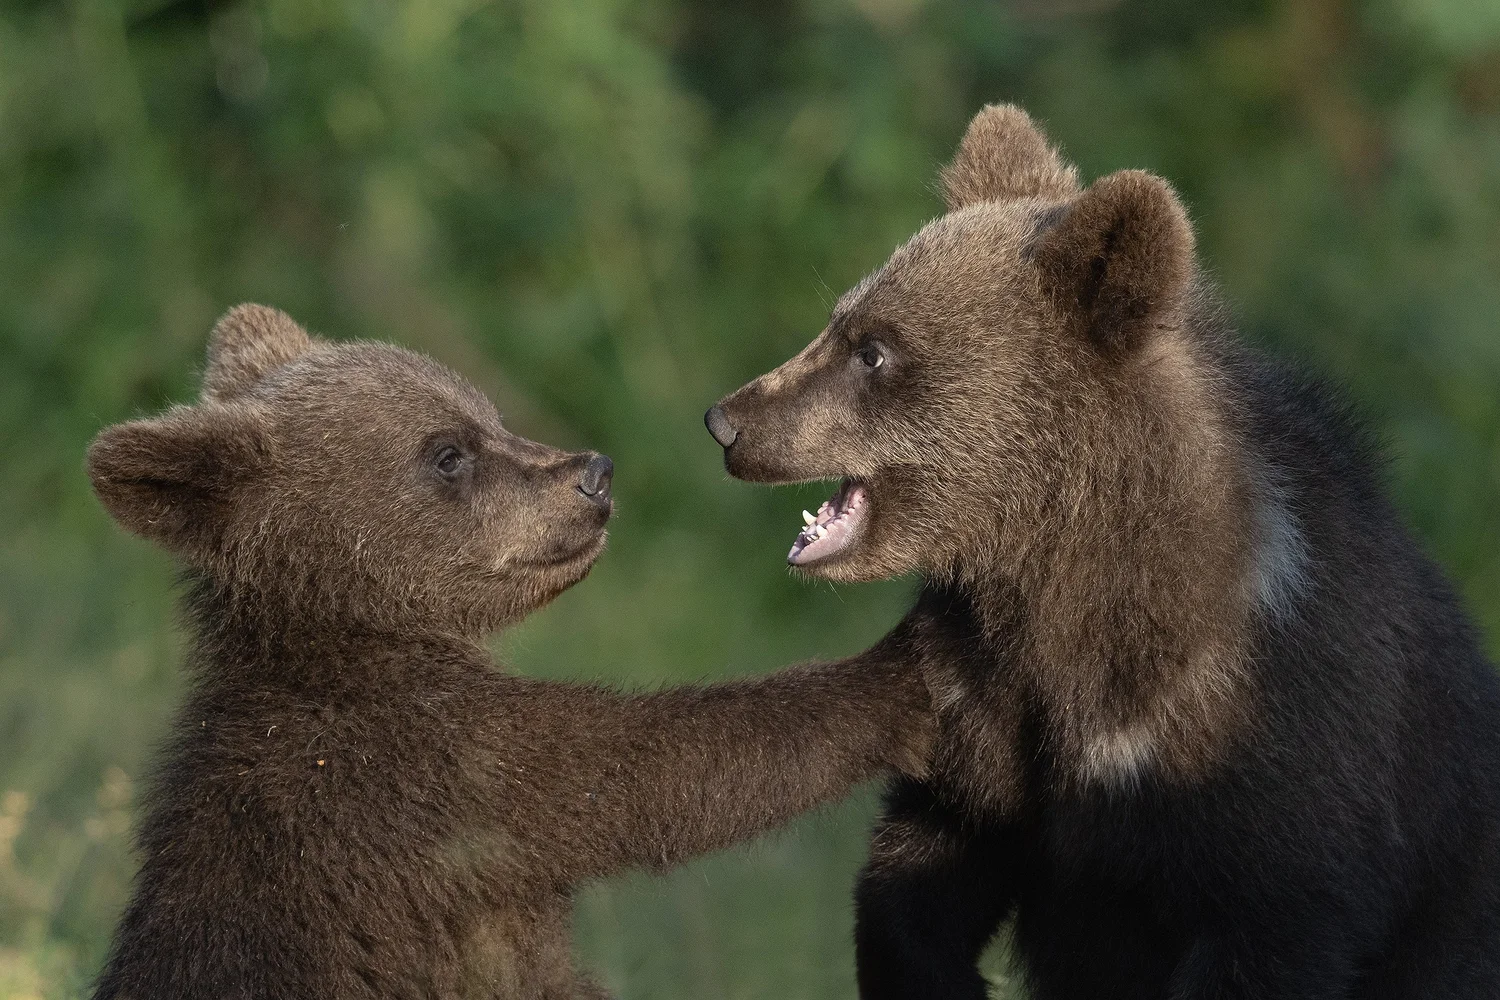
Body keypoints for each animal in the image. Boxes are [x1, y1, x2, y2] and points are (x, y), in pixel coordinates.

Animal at [85, 304, 936, 1000]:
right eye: (447, 453)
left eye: (487, 416)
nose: (592, 473)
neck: (349, 636)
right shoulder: (428, 783)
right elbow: (645, 773)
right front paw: (900, 671)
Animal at [705, 105, 1500, 998]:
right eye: (838, 318)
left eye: (874, 348)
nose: (728, 421)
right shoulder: (983, 709)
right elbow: (922, 869)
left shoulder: (1269, 751)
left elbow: (1271, 918)